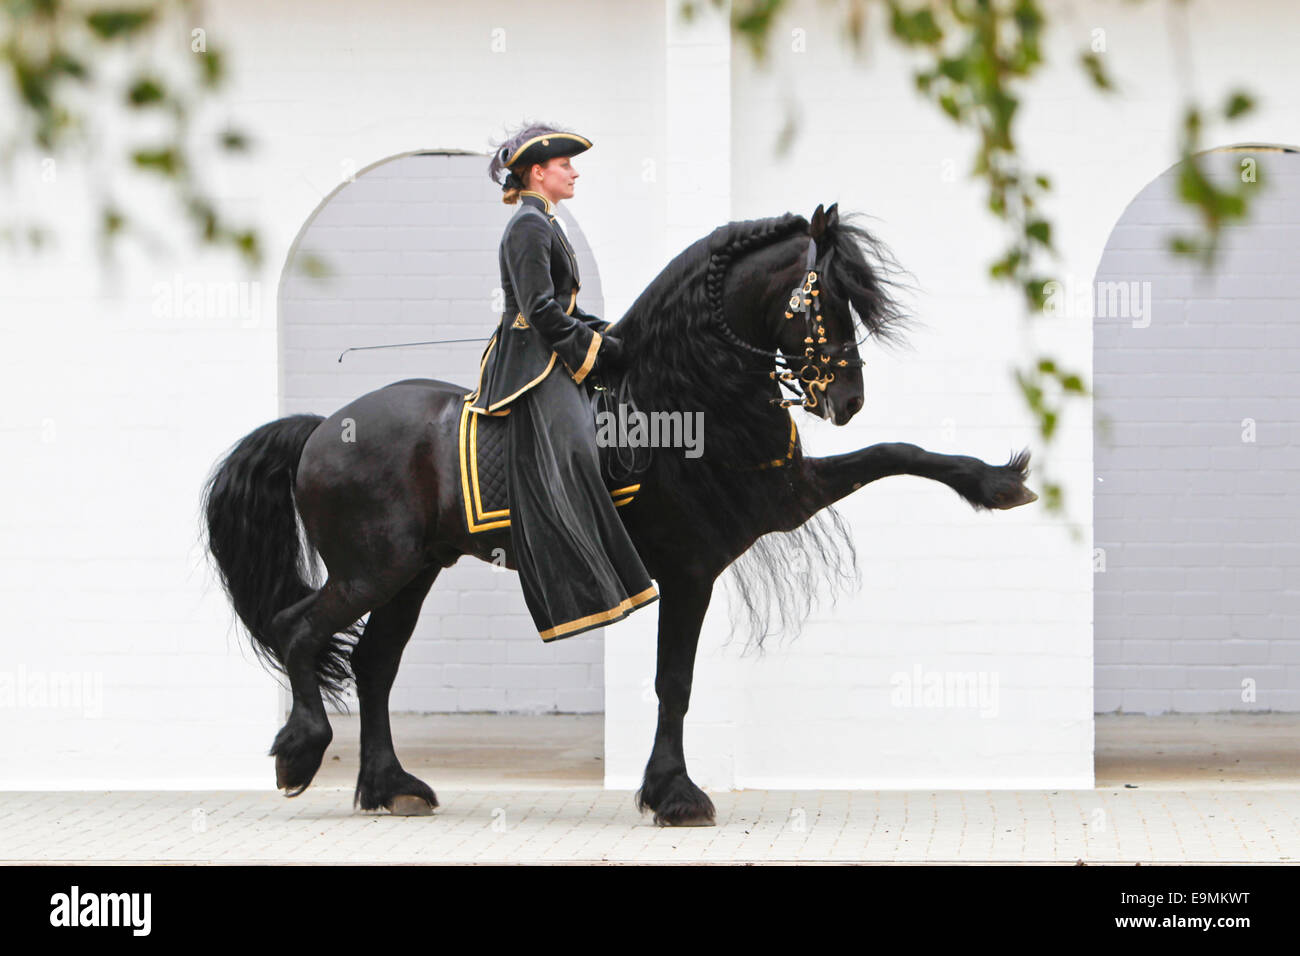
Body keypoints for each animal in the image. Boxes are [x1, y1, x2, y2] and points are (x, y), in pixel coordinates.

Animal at [202, 203, 1037, 827]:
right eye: (826, 299)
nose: (847, 400)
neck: (688, 396)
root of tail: (321, 427)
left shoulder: (786, 494)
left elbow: (898, 452)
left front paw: (997, 482)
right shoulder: (695, 566)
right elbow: (676, 681)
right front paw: (676, 795)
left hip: (412, 571)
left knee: (375, 663)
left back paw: (390, 787)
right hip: (373, 568)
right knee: (300, 630)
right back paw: (300, 752)